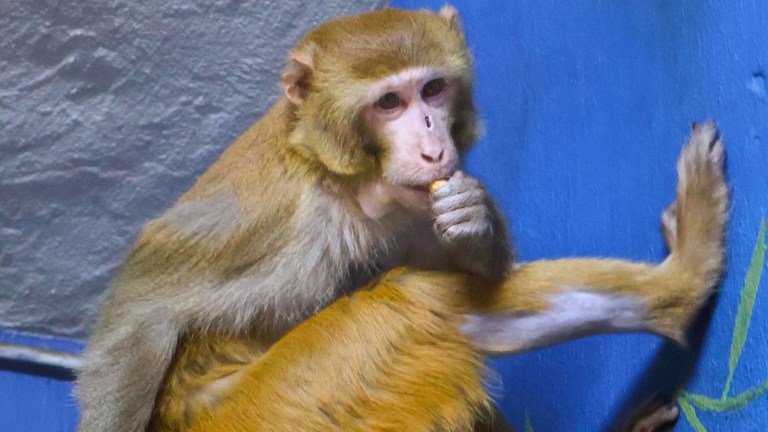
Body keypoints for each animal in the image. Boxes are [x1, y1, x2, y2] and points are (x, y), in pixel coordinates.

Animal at [75, 6, 514, 432]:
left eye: (433, 89)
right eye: (389, 102)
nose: (433, 149)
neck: (344, 182)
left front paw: (474, 216)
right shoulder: (273, 221)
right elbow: (140, 311)